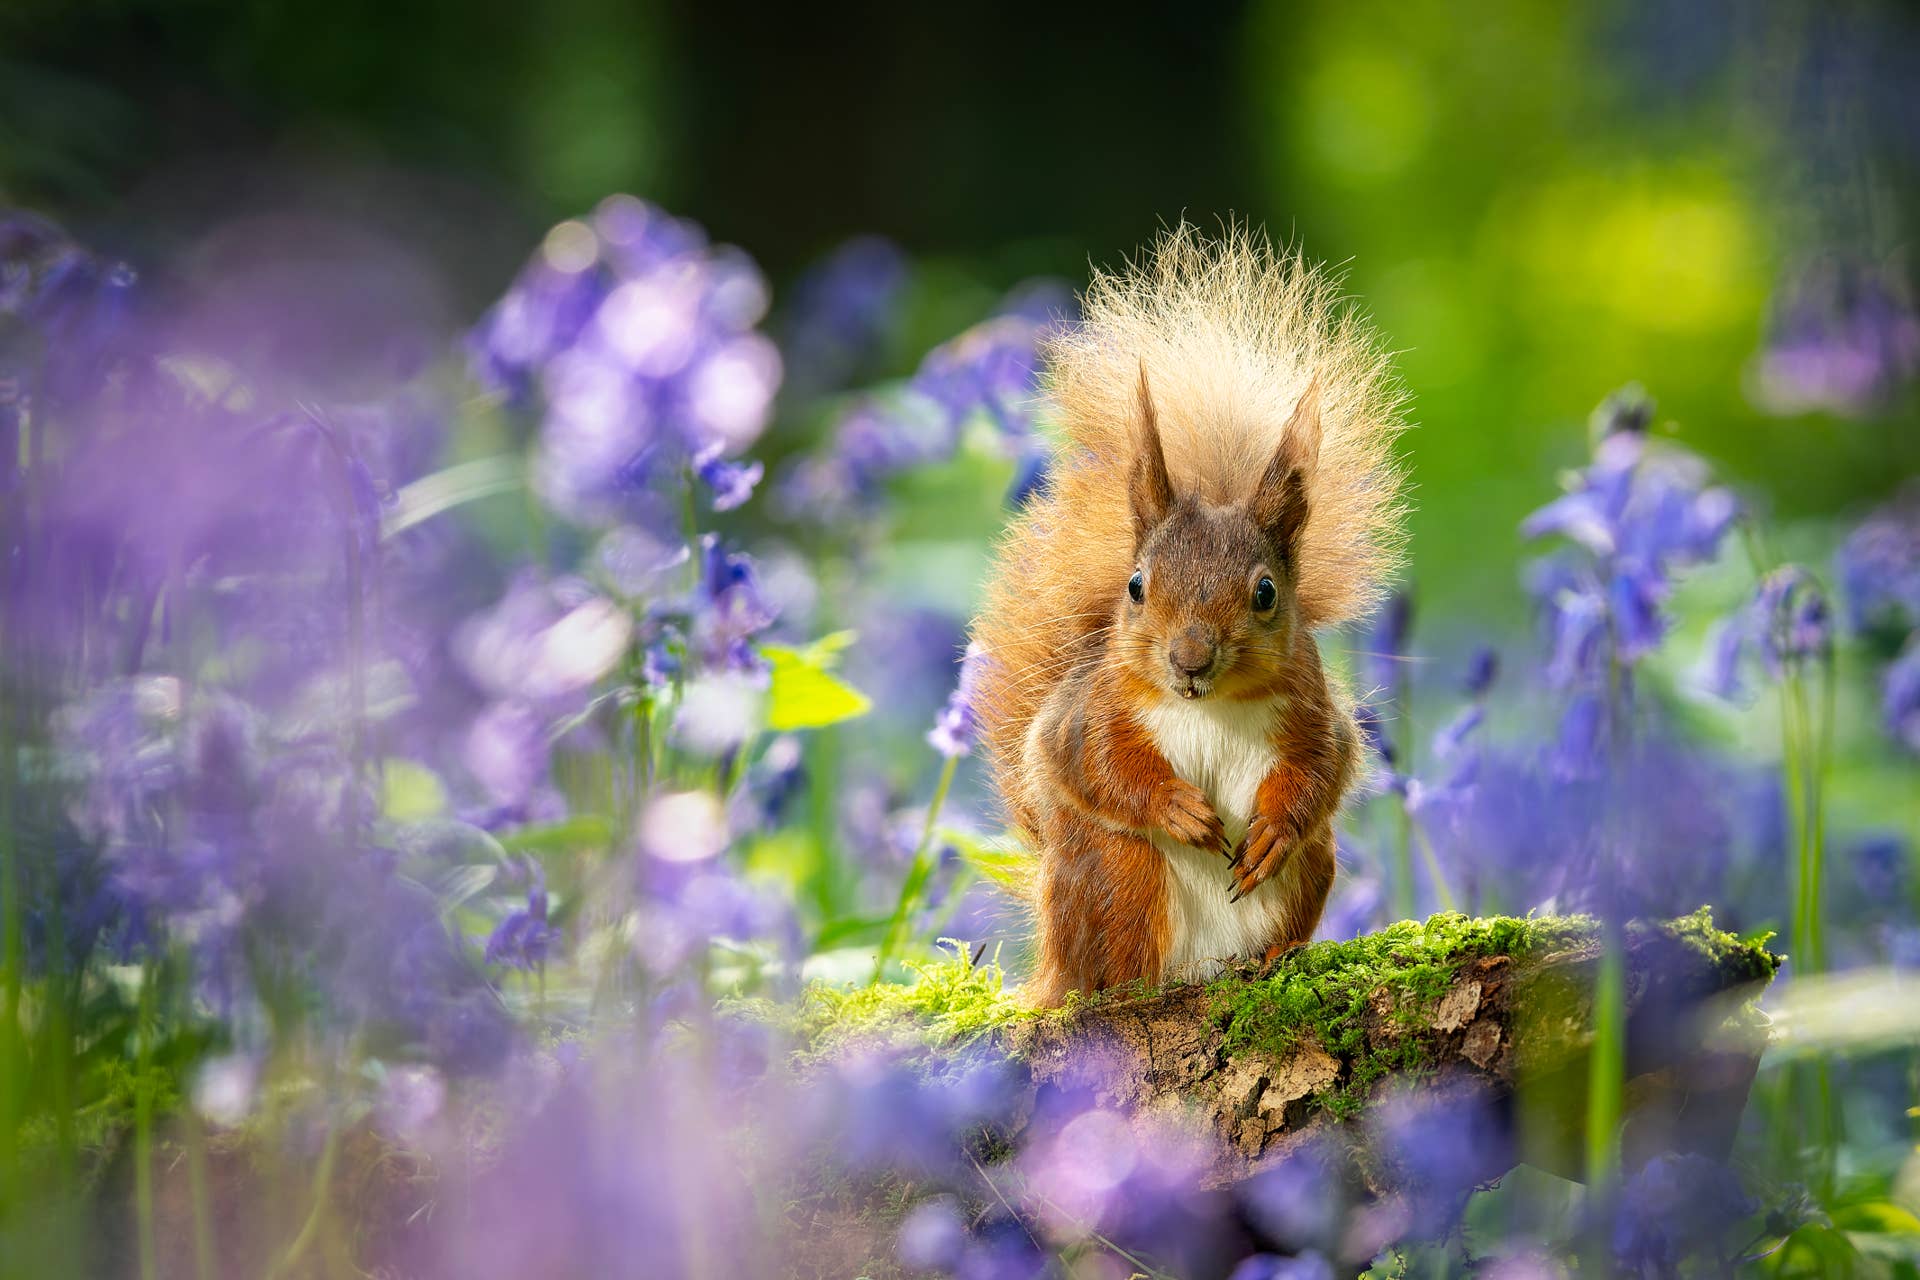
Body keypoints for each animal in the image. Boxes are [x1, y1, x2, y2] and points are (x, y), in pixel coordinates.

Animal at [971, 226, 1409, 1006]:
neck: (1212, 707)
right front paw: (1174, 807)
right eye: (1135, 586)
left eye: (1266, 593)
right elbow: (1090, 762)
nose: (1189, 660)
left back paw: (1270, 960)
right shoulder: (1093, 709)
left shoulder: (1310, 708)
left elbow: (1323, 768)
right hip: (1120, 872)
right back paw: (1125, 991)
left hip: (1311, 872)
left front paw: (1273, 828)